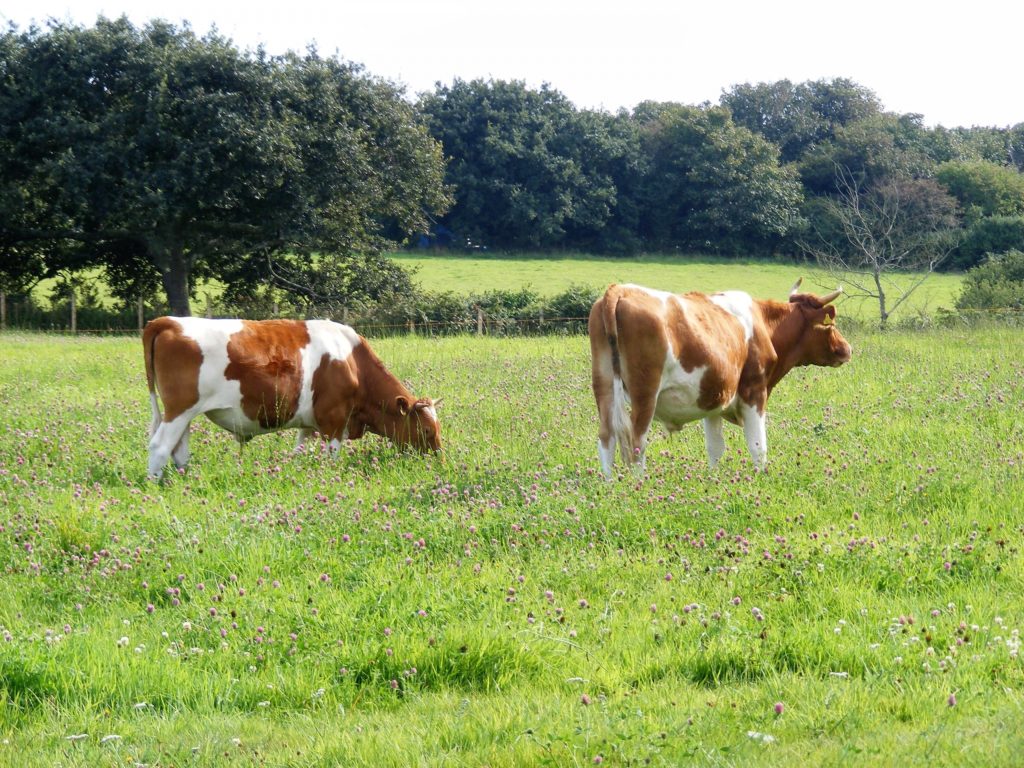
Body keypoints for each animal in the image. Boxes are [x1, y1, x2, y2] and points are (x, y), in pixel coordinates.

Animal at [143, 317, 441, 480]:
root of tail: (168, 321)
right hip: (179, 409)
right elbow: (332, 456)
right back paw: (155, 484)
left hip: (185, 415)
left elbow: (299, 451)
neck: (353, 363)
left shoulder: (310, 424)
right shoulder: (334, 420)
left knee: (179, 449)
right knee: (159, 446)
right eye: (427, 430)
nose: (439, 460)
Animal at [588, 279, 851, 478]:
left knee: (606, 438)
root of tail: (619, 290)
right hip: (645, 392)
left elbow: (715, 447)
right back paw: (639, 486)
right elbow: (758, 446)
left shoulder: (713, 398)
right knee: (636, 442)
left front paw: (713, 480)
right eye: (830, 324)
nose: (847, 348)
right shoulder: (755, 391)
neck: (764, 325)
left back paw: (609, 485)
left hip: (604, 386)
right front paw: (759, 479)